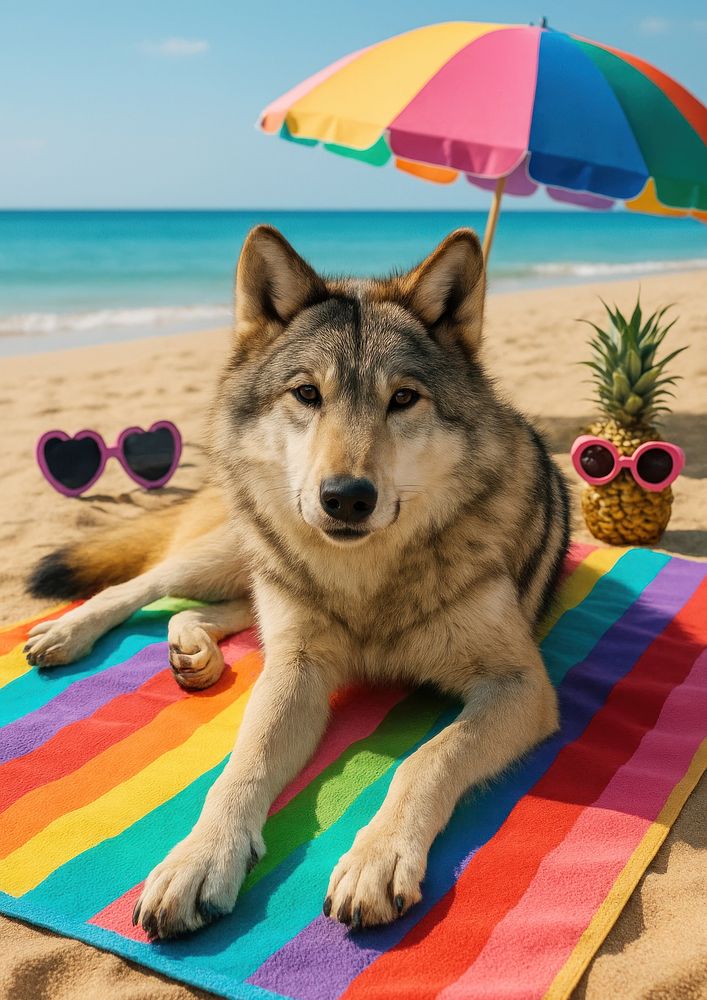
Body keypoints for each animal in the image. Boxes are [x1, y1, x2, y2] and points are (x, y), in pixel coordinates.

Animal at [25, 225, 570, 939]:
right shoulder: (299, 673)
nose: (347, 498)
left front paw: (376, 859)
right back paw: (67, 633)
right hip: (234, 549)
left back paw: (194, 653)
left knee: (217, 612)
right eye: (307, 394)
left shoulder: (521, 685)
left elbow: (428, 758)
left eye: (403, 398)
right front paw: (198, 859)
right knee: (140, 589)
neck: (366, 582)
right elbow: (241, 769)